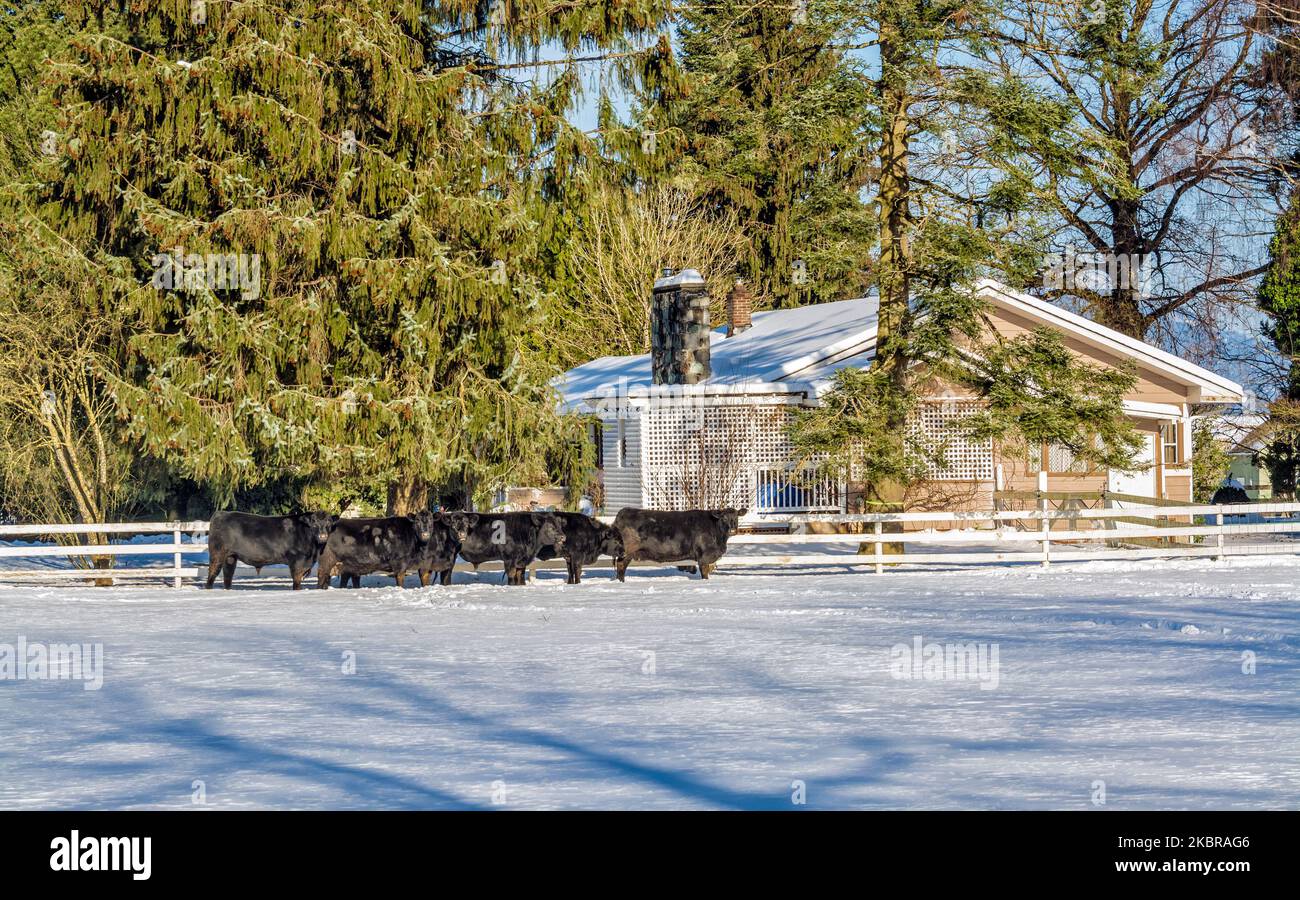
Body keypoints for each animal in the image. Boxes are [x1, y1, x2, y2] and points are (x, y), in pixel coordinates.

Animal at [205, 510, 337, 590]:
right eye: (313, 523)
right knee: (213, 572)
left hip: (231, 557)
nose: (323, 536)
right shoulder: (297, 562)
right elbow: (296, 581)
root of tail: (222, 513)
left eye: (329, 522)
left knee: (228, 574)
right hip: (217, 553)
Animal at [612, 508, 746, 581]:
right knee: (621, 565)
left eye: (736, 517)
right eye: (724, 518)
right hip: (626, 551)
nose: (733, 529)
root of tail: (622, 513)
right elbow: (705, 573)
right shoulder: (704, 557)